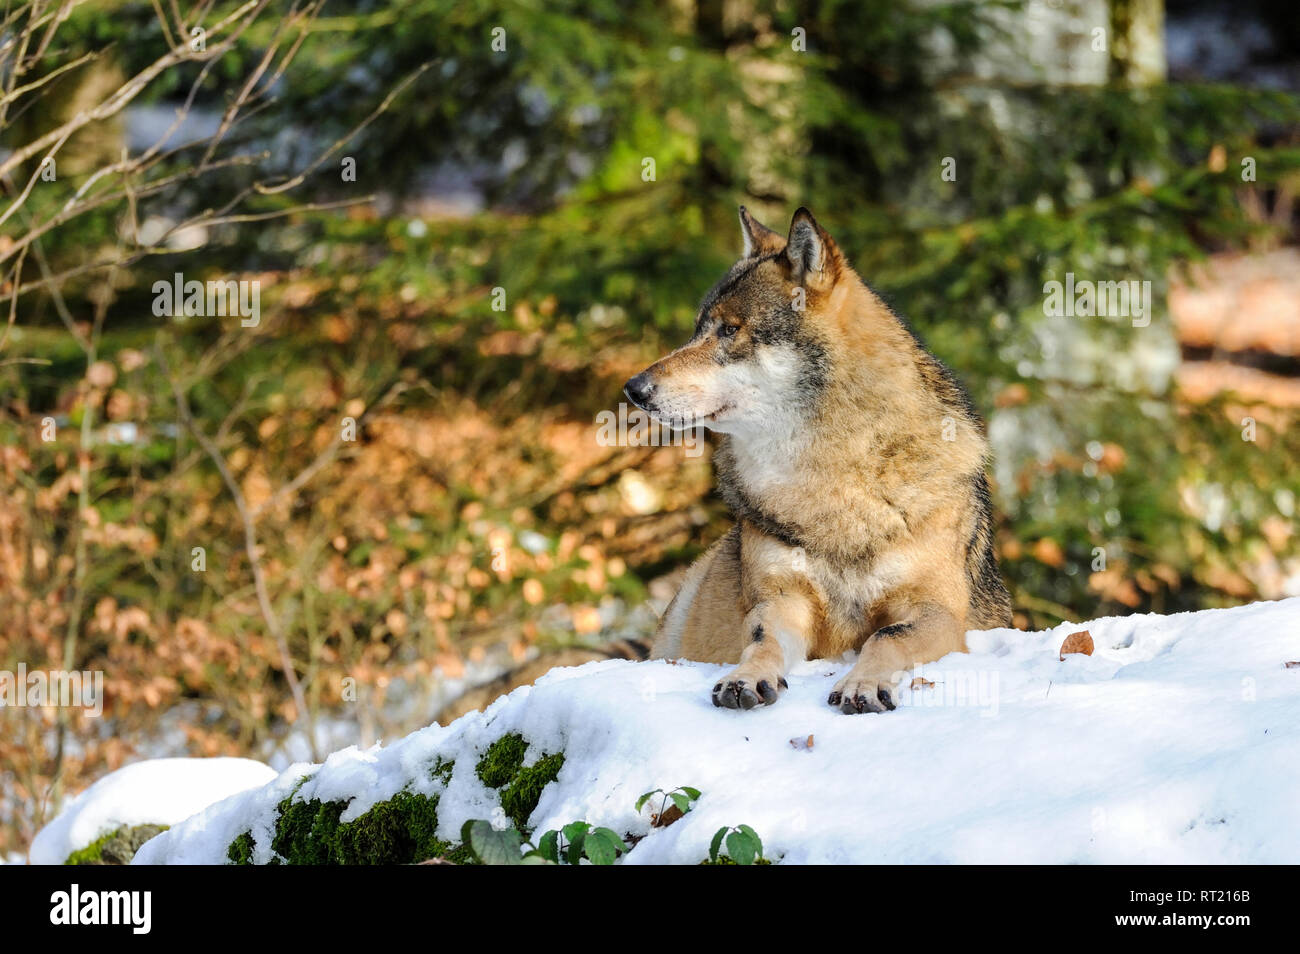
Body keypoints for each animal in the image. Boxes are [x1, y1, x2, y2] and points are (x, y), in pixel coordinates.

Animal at [624, 206, 1012, 714]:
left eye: (729, 330)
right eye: (696, 331)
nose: (633, 388)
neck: (830, 477)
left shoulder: (939, 611)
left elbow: (886, 637)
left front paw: (861, 684)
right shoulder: (781, 600)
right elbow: (761, 641)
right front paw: (745, 678)